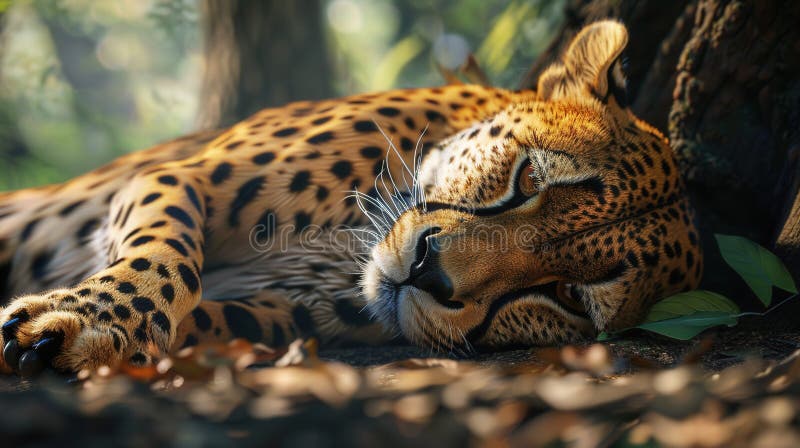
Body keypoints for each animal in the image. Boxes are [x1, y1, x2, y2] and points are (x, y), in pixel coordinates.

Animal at [0, 21, 701, 375]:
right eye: (528, 179)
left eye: (565, 296)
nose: (430, 274)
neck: (345, 247)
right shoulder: (180, 177)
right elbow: (164, 257)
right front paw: (89, 320)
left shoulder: (283, 315)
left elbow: (201, 313)